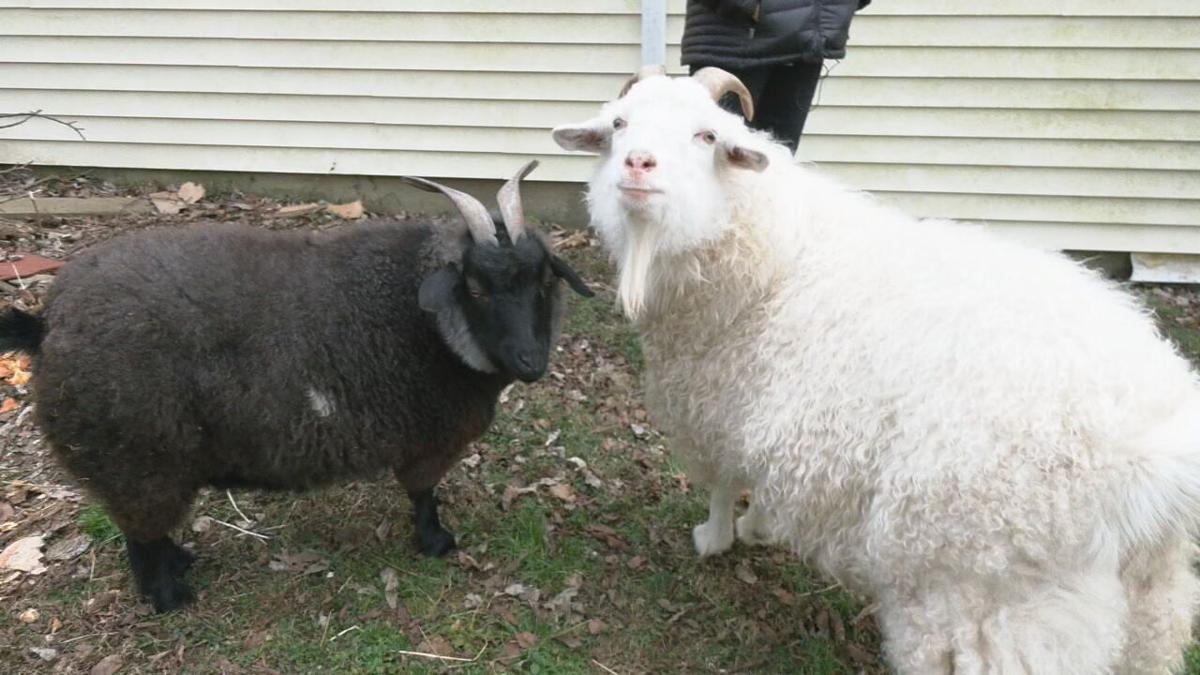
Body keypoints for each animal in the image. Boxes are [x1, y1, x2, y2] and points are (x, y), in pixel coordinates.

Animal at [0, 161, 593, 612]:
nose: (531, 361)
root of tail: (46, 323)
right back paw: (170, 597)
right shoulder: (428, 443)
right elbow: (424, 495)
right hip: (136, 462)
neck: (429, 326)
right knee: (140, 536)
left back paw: (180, 563)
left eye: (544, 279)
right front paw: (436, 543)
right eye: (475, 287)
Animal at [552, 68, 1200, 673]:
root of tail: (1142, 454)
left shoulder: (716, 411)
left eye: (706, 135)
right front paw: (761, 525)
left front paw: (715, 539)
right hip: (1149, 606)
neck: (772, 257)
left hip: (984, 597)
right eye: (619, 125)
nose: (638, 164)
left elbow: (722, 484)